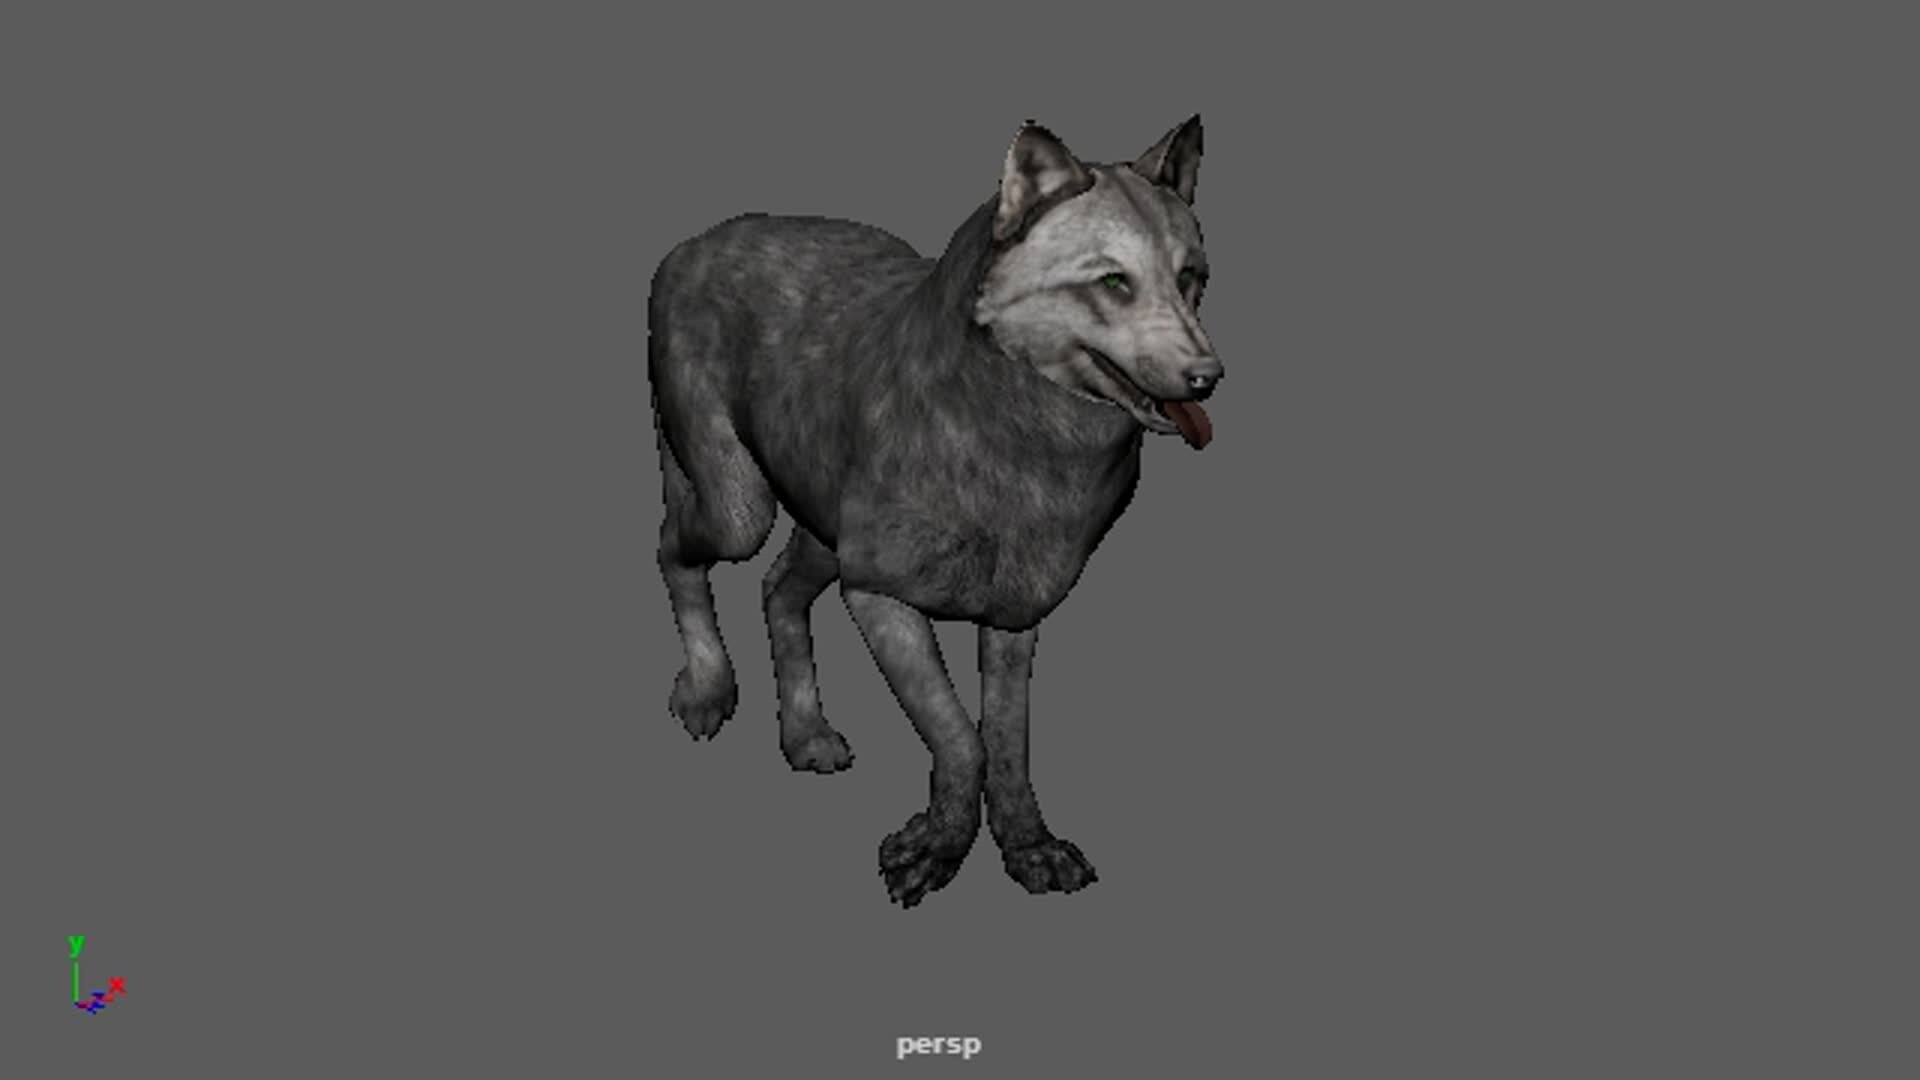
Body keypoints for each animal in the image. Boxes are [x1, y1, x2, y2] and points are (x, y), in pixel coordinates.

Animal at [647, 116, 1223, 907]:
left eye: (1192, 279)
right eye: (1113, 282)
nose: (1209, 377)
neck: (1019, 453)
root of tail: (692, 242)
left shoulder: (1013, 617)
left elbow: (1008, 745)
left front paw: (1030, 849)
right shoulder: (878, 597)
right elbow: (960, 736)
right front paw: (934, 851)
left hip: (823, 533)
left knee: (777, 592)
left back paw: (806, 736)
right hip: (741, 511)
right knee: (671, 546)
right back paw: (706, 691)